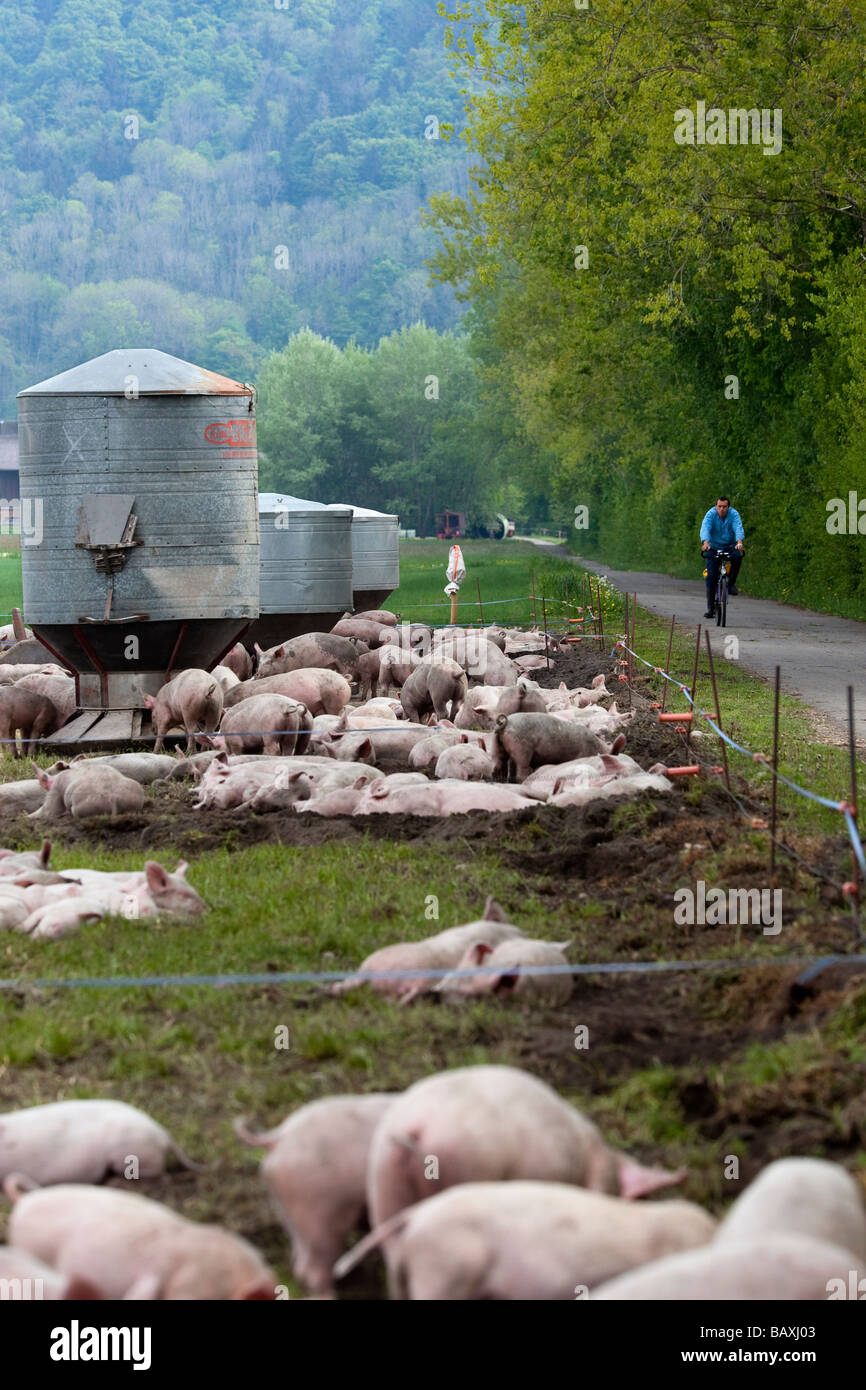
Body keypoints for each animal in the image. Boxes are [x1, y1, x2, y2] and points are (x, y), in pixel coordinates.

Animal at [495, 712, 626, 782]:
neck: (598, 748)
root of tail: (506, 723)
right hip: (522, 750)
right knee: (521, 770)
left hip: (502, 747)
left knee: (505, 766)